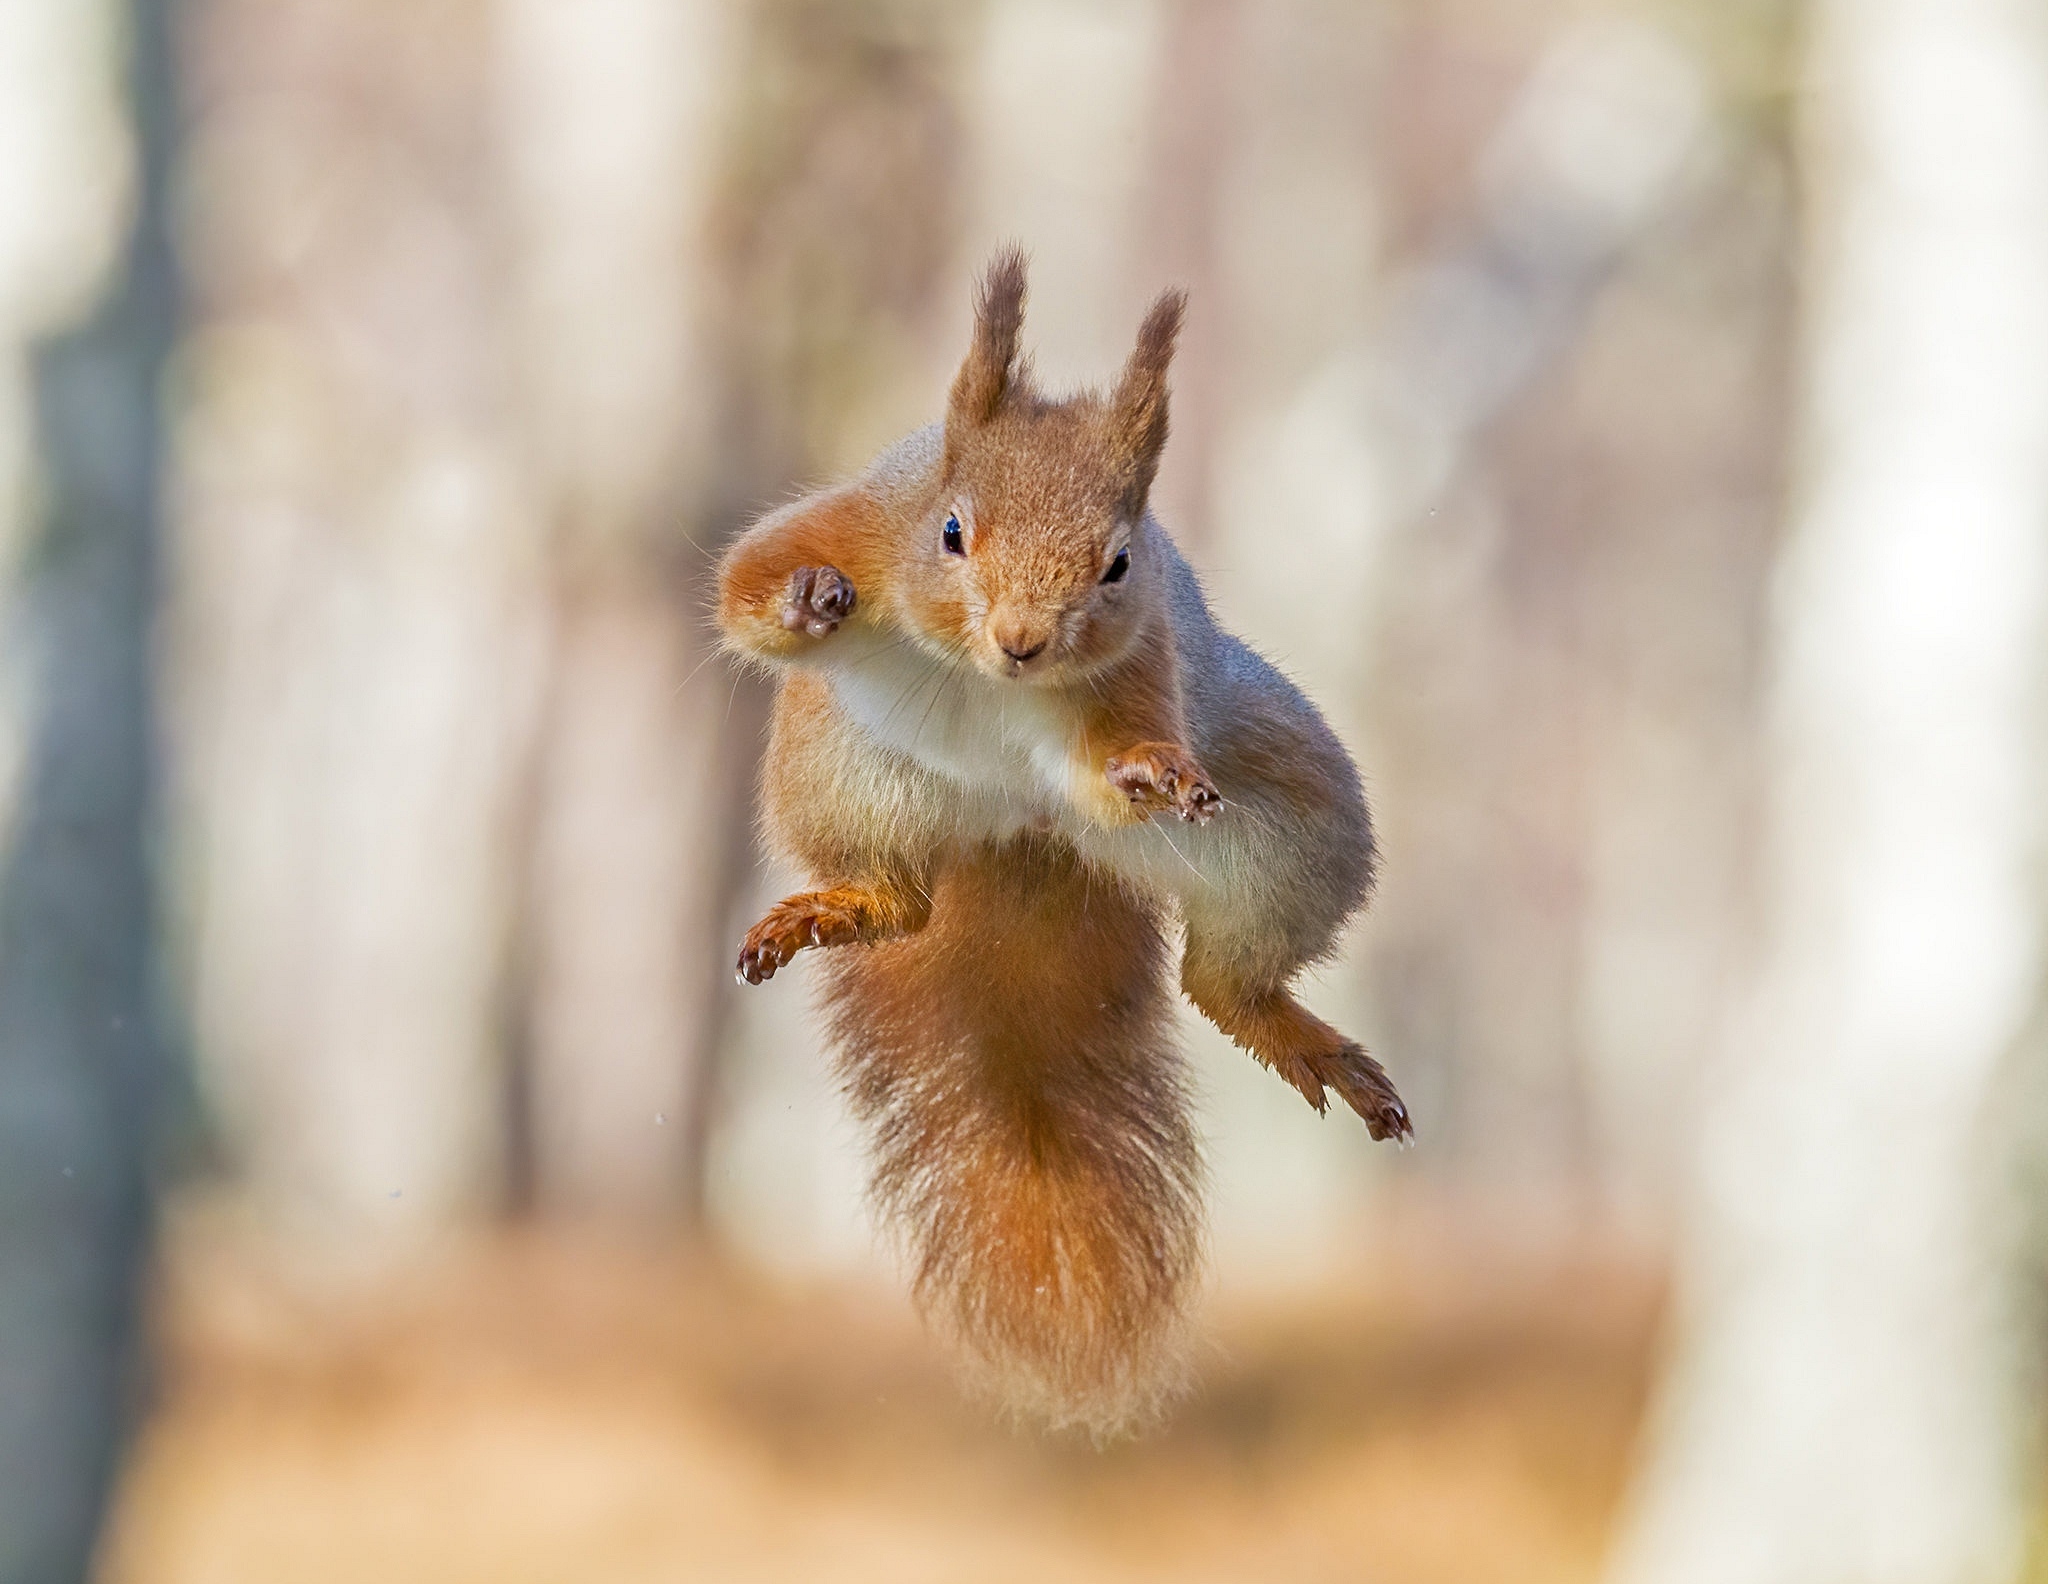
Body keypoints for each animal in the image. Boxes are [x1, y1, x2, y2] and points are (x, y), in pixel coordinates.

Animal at [716, 248, 1409, 1433]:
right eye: (951, 530)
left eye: (1119, 564)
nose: (1023, 641)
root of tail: (1016, 837)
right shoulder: (860, 523)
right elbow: (743, 586)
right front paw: (805, 600)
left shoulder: (1144, 666)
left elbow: (1117, 757)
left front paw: (1144, 773)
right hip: (843, 774)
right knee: (903, 902)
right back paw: (837, 905)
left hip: (1293, 831)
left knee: (1218, 981)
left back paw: (1292, 1032)